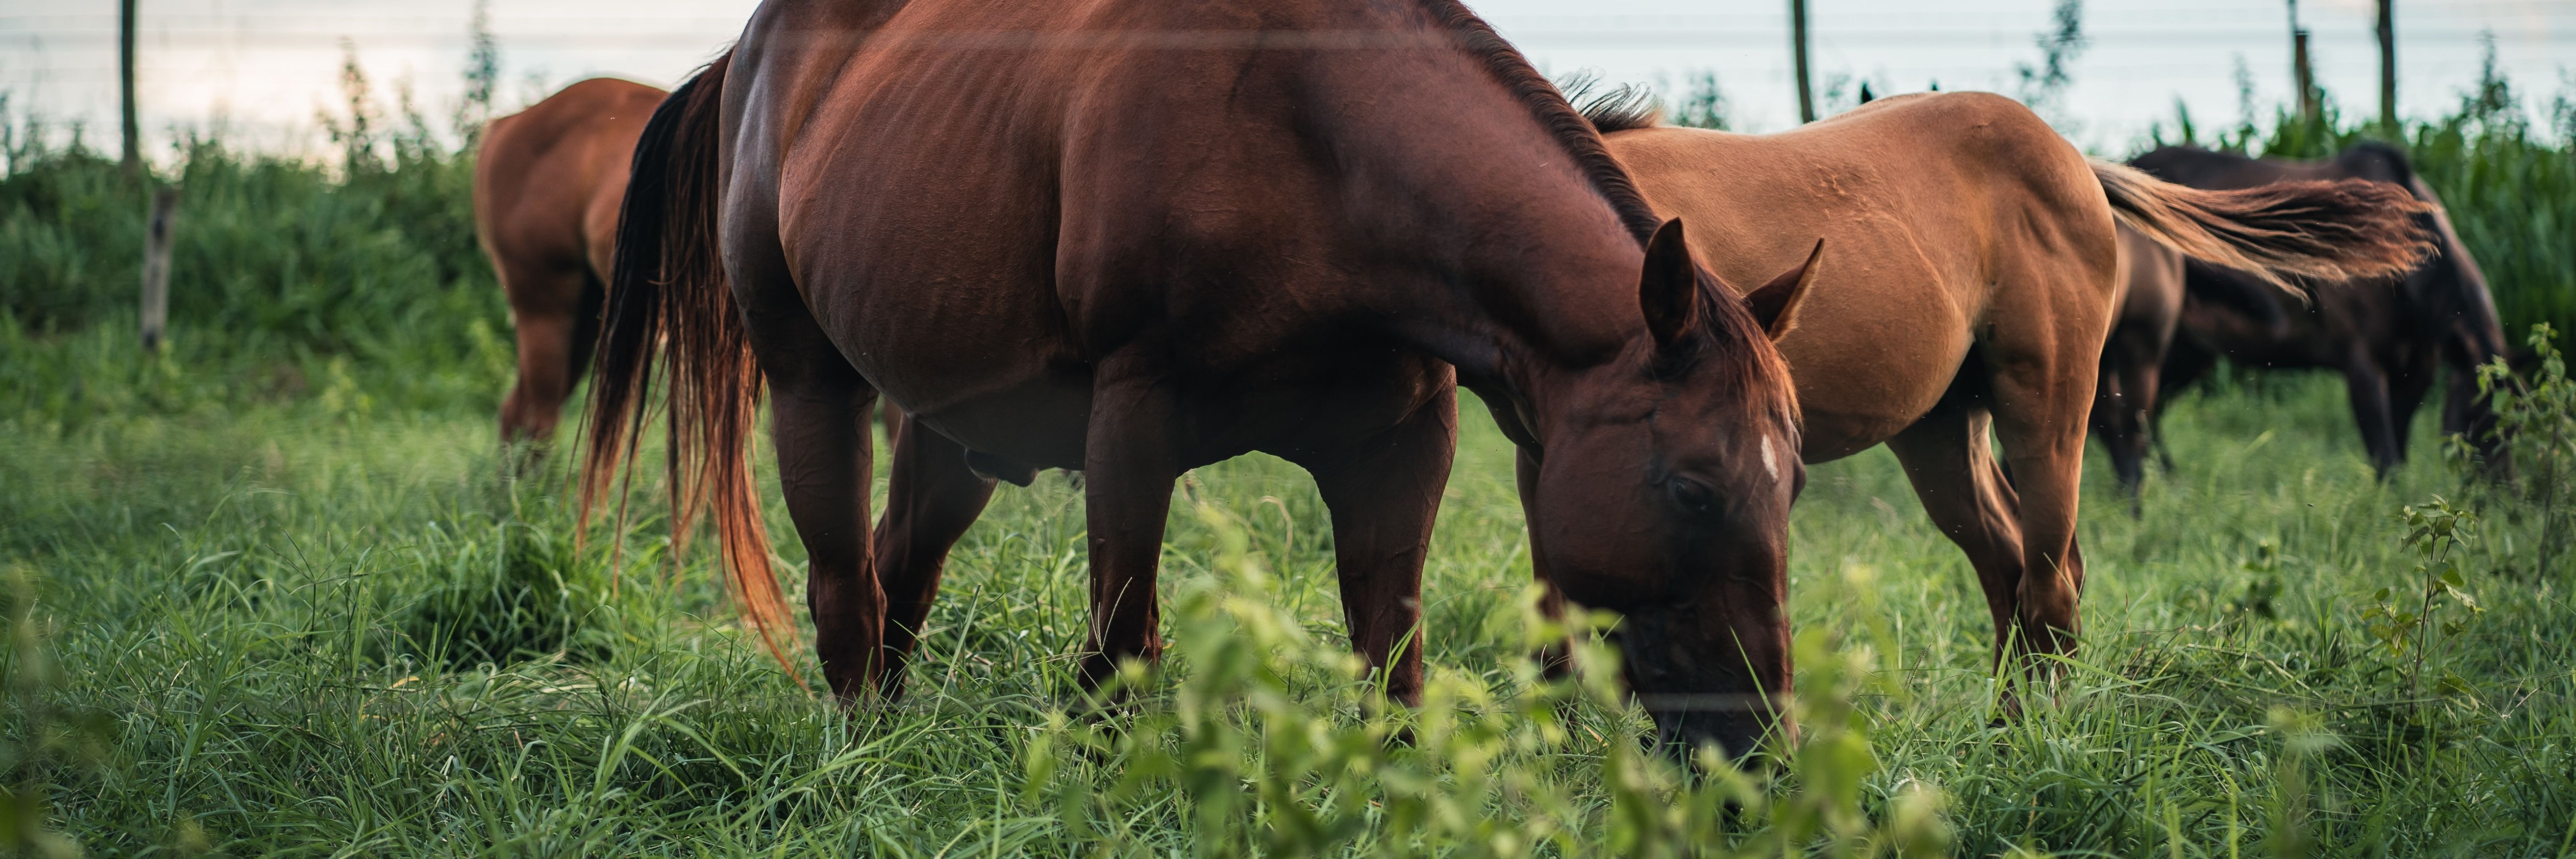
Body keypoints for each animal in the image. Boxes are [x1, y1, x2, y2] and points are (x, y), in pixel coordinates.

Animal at [586, 0, 1824, 756]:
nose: (1763, 743)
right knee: (846, 592)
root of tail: (747, 61)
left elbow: (1391, 660)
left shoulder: (1400, 447)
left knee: (901, 578)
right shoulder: (1135, 424)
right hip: (813, 386)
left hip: (953, 427)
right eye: (1692, 488)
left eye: (1793, 487)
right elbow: (1121, 651)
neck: (1312, 143)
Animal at [2131, 143, 2509, 477]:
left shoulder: (2416, 371)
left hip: (2189, 350)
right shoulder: (2361, 365)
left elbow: (2398, 453)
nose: (2509, 496)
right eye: (2482, 419)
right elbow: (2385, 457)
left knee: (2152, 410)